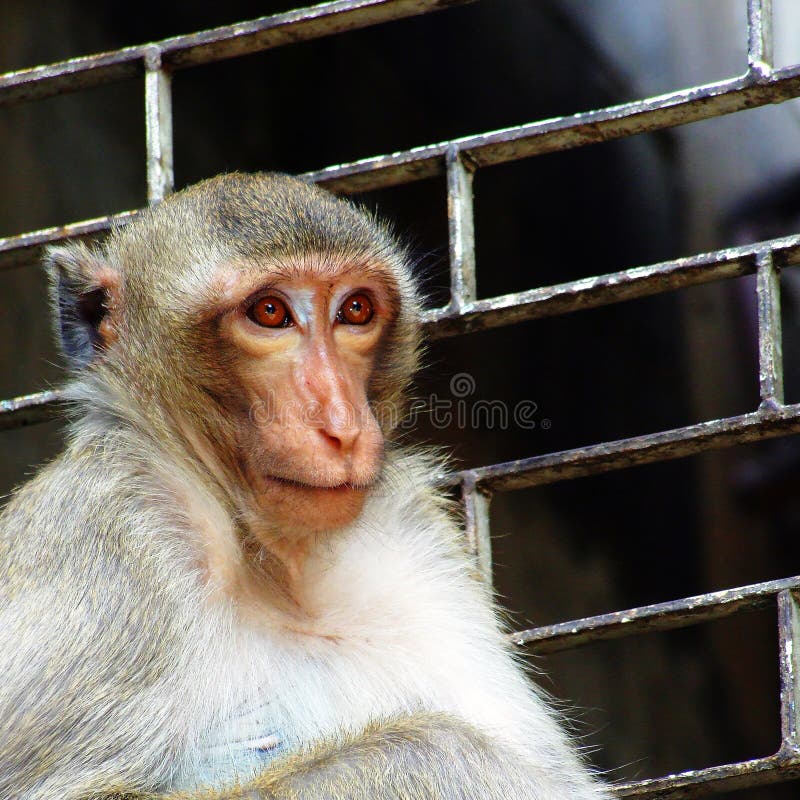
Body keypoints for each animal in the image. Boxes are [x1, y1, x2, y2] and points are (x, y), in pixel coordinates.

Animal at [0, 172, 610, 800]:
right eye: (270, 312)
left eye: (355, 309)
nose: (342, 424)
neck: (270, 564)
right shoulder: (110, 528)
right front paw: (447, 758)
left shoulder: (412, 532)